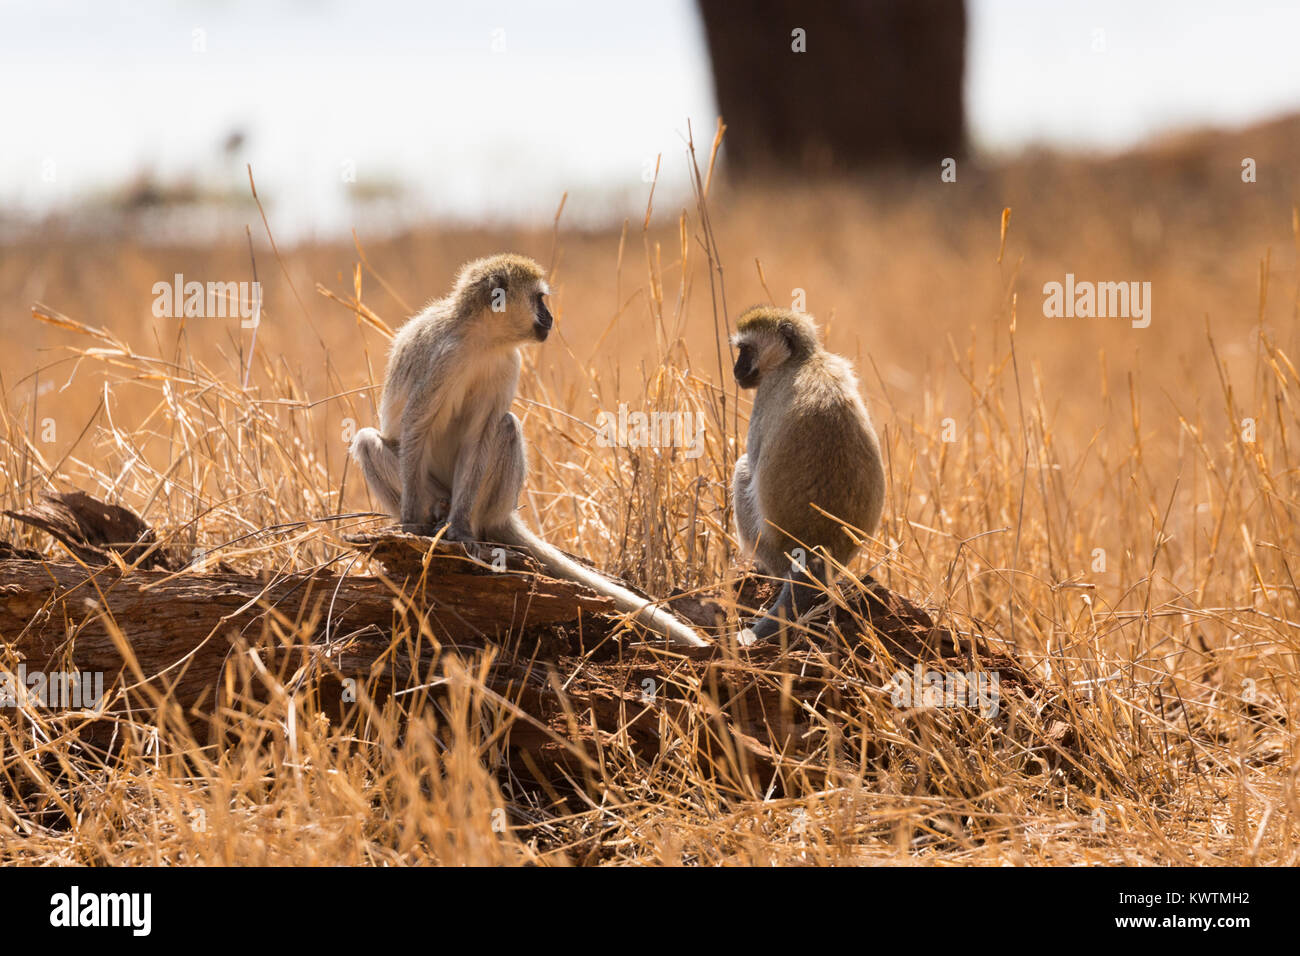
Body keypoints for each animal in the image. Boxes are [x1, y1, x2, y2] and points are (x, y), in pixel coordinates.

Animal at [350, 253, 709, 648]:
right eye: (539, 299)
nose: (550, 317)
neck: (481, 339)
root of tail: (501, 515)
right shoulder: (443, 359)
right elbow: (416, 426)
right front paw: (411, 521)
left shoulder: (508, 363)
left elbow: (480, 436)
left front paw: (459, 528)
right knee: (368, 440)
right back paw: (434, 512)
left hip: (490, 502)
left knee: (504, 426)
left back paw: (464, 520)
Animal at [729, 305, 886, 644]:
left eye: (746, 349)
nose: (737, 370)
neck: (802, 359)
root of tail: (815, 557)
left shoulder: (767, 392)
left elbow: (752, 462)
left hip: (772, 547)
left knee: (742, 470)